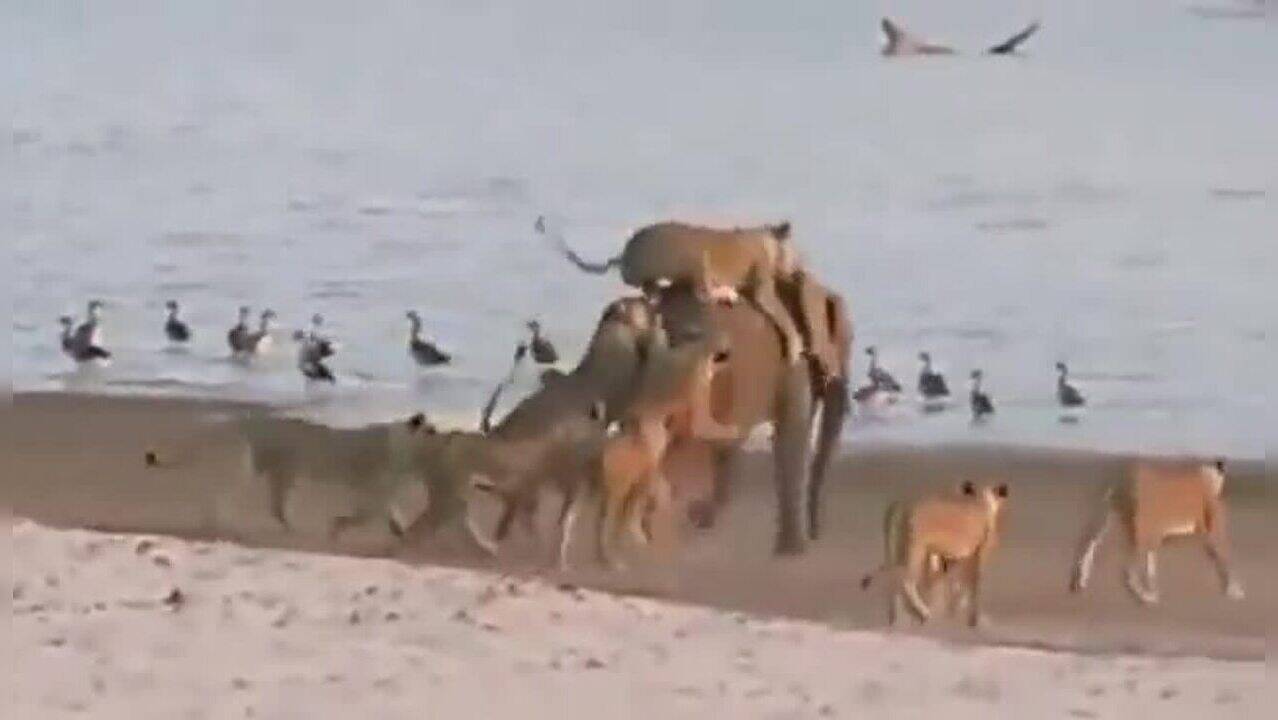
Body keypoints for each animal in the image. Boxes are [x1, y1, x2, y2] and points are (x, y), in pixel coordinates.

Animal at [861, 481, 1009, 627]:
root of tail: (898, 508)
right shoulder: (976, 555)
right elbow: (970, 585)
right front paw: (970, 619)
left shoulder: (949, 558)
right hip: (915, 548)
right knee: (905, 579)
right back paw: (923, 613)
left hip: (896, 549)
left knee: (892, 578)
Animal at [1069, 458, 1244, 605]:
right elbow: (1224, 556)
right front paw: (1234, 589)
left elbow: (1151, 563)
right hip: (1137, 527)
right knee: (1128, 569)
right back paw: (1147, 597)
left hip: (1118, 520)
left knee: (1092, 542)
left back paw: (1081, 579)